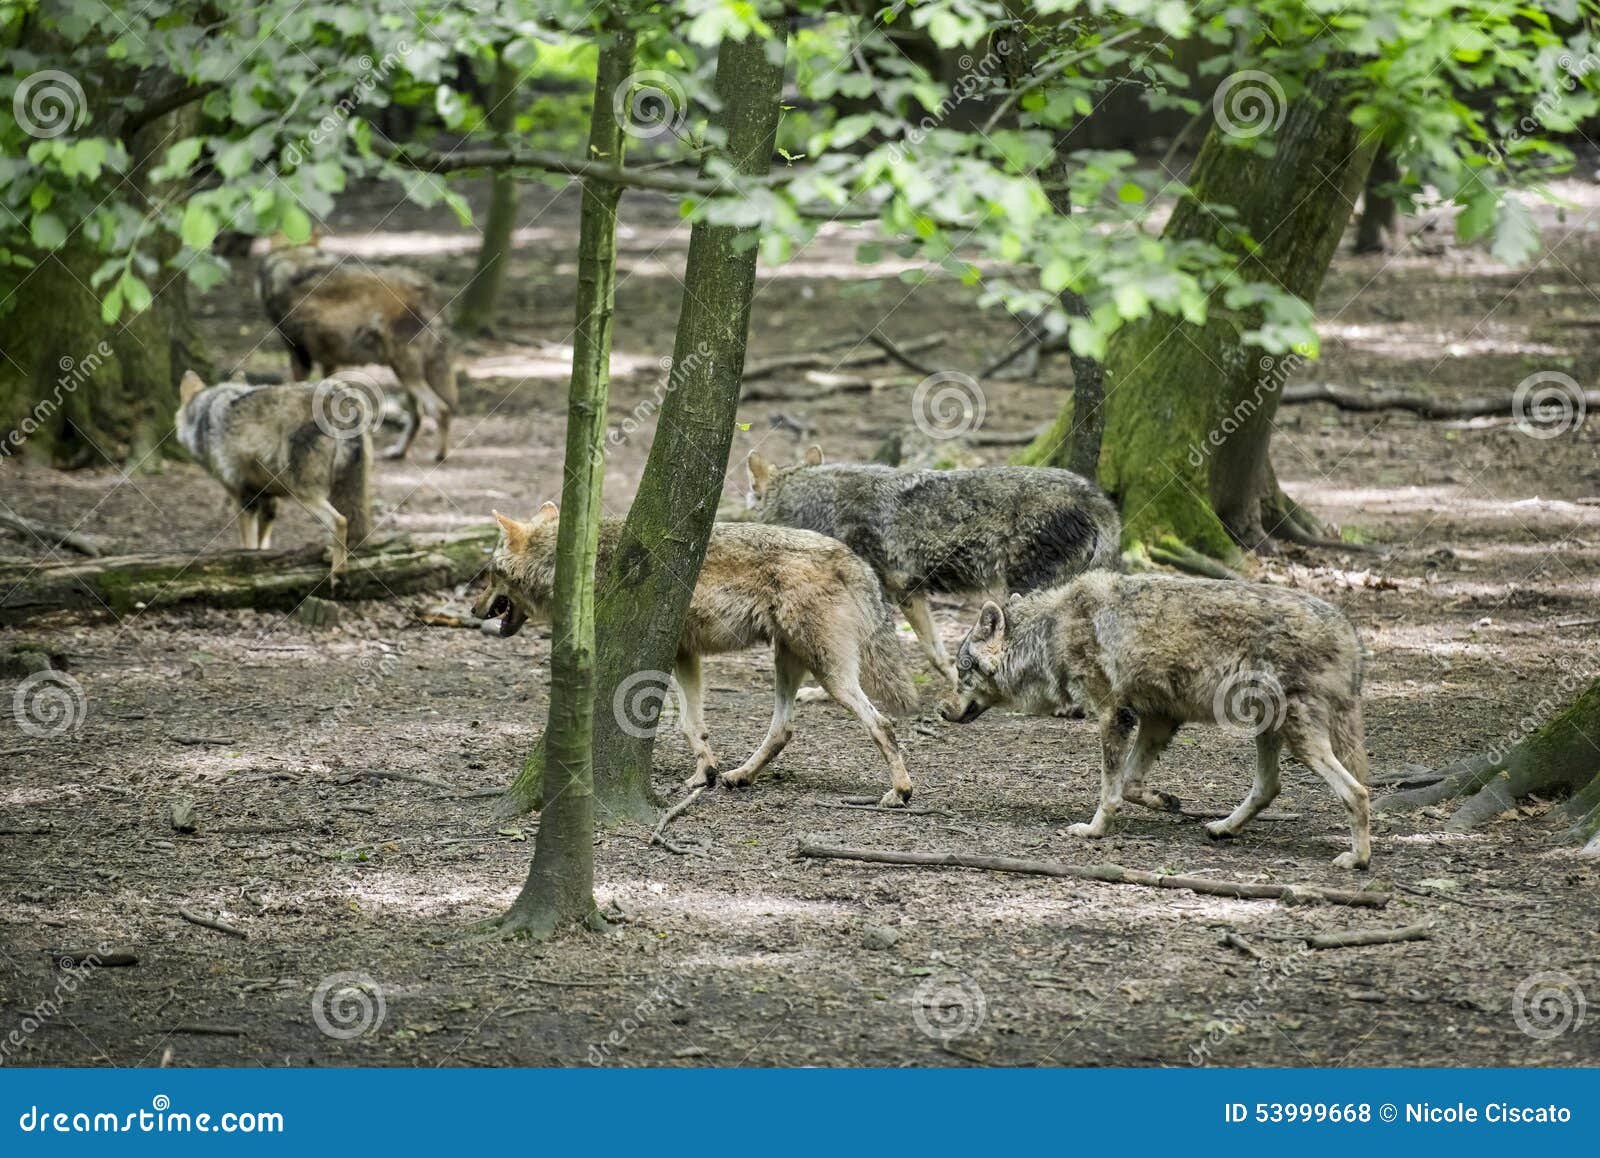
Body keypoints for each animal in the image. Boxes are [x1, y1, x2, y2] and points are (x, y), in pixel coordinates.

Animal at [175, 371, 372, 582]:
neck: (206, 416)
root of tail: (334, 392)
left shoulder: (244, 499)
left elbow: (248, 544)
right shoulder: (268, 501)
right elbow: (262, 545)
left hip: (303, 493)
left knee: (340, 521)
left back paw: (338, 575)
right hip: (349, 495)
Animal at [257, 242, 457, 461]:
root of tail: (428, 288)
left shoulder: (300, 358)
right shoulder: (329, 362)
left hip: (406, 374)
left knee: (441, 409)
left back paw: (439, 455)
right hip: (408, 377)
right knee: (420, 416)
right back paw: (399, 452)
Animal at [472, 505, 919, 806]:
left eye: (490, 574)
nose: (473, 609)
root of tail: (856, 560)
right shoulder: (685, 654)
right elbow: (693, 726)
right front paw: (705, 774)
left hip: (829, 673)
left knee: (883, 724)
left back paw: (900, 792)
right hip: (788, 662)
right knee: (783, 730)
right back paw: (740, 776)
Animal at [941, 572, 1371, 869]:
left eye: (961, 669)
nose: (942, 710)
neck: (1050, 632)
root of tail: (1346, 628)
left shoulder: (1113, 716)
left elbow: (1110, 791)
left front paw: (1094, 832)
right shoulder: (1158, 720)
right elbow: (1131, 784)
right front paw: (1165, 801)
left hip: (1299, 740)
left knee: (1357, 792)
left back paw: (1358, 859)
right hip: (1268, 731)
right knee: (1269, 787)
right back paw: (1222, 828)